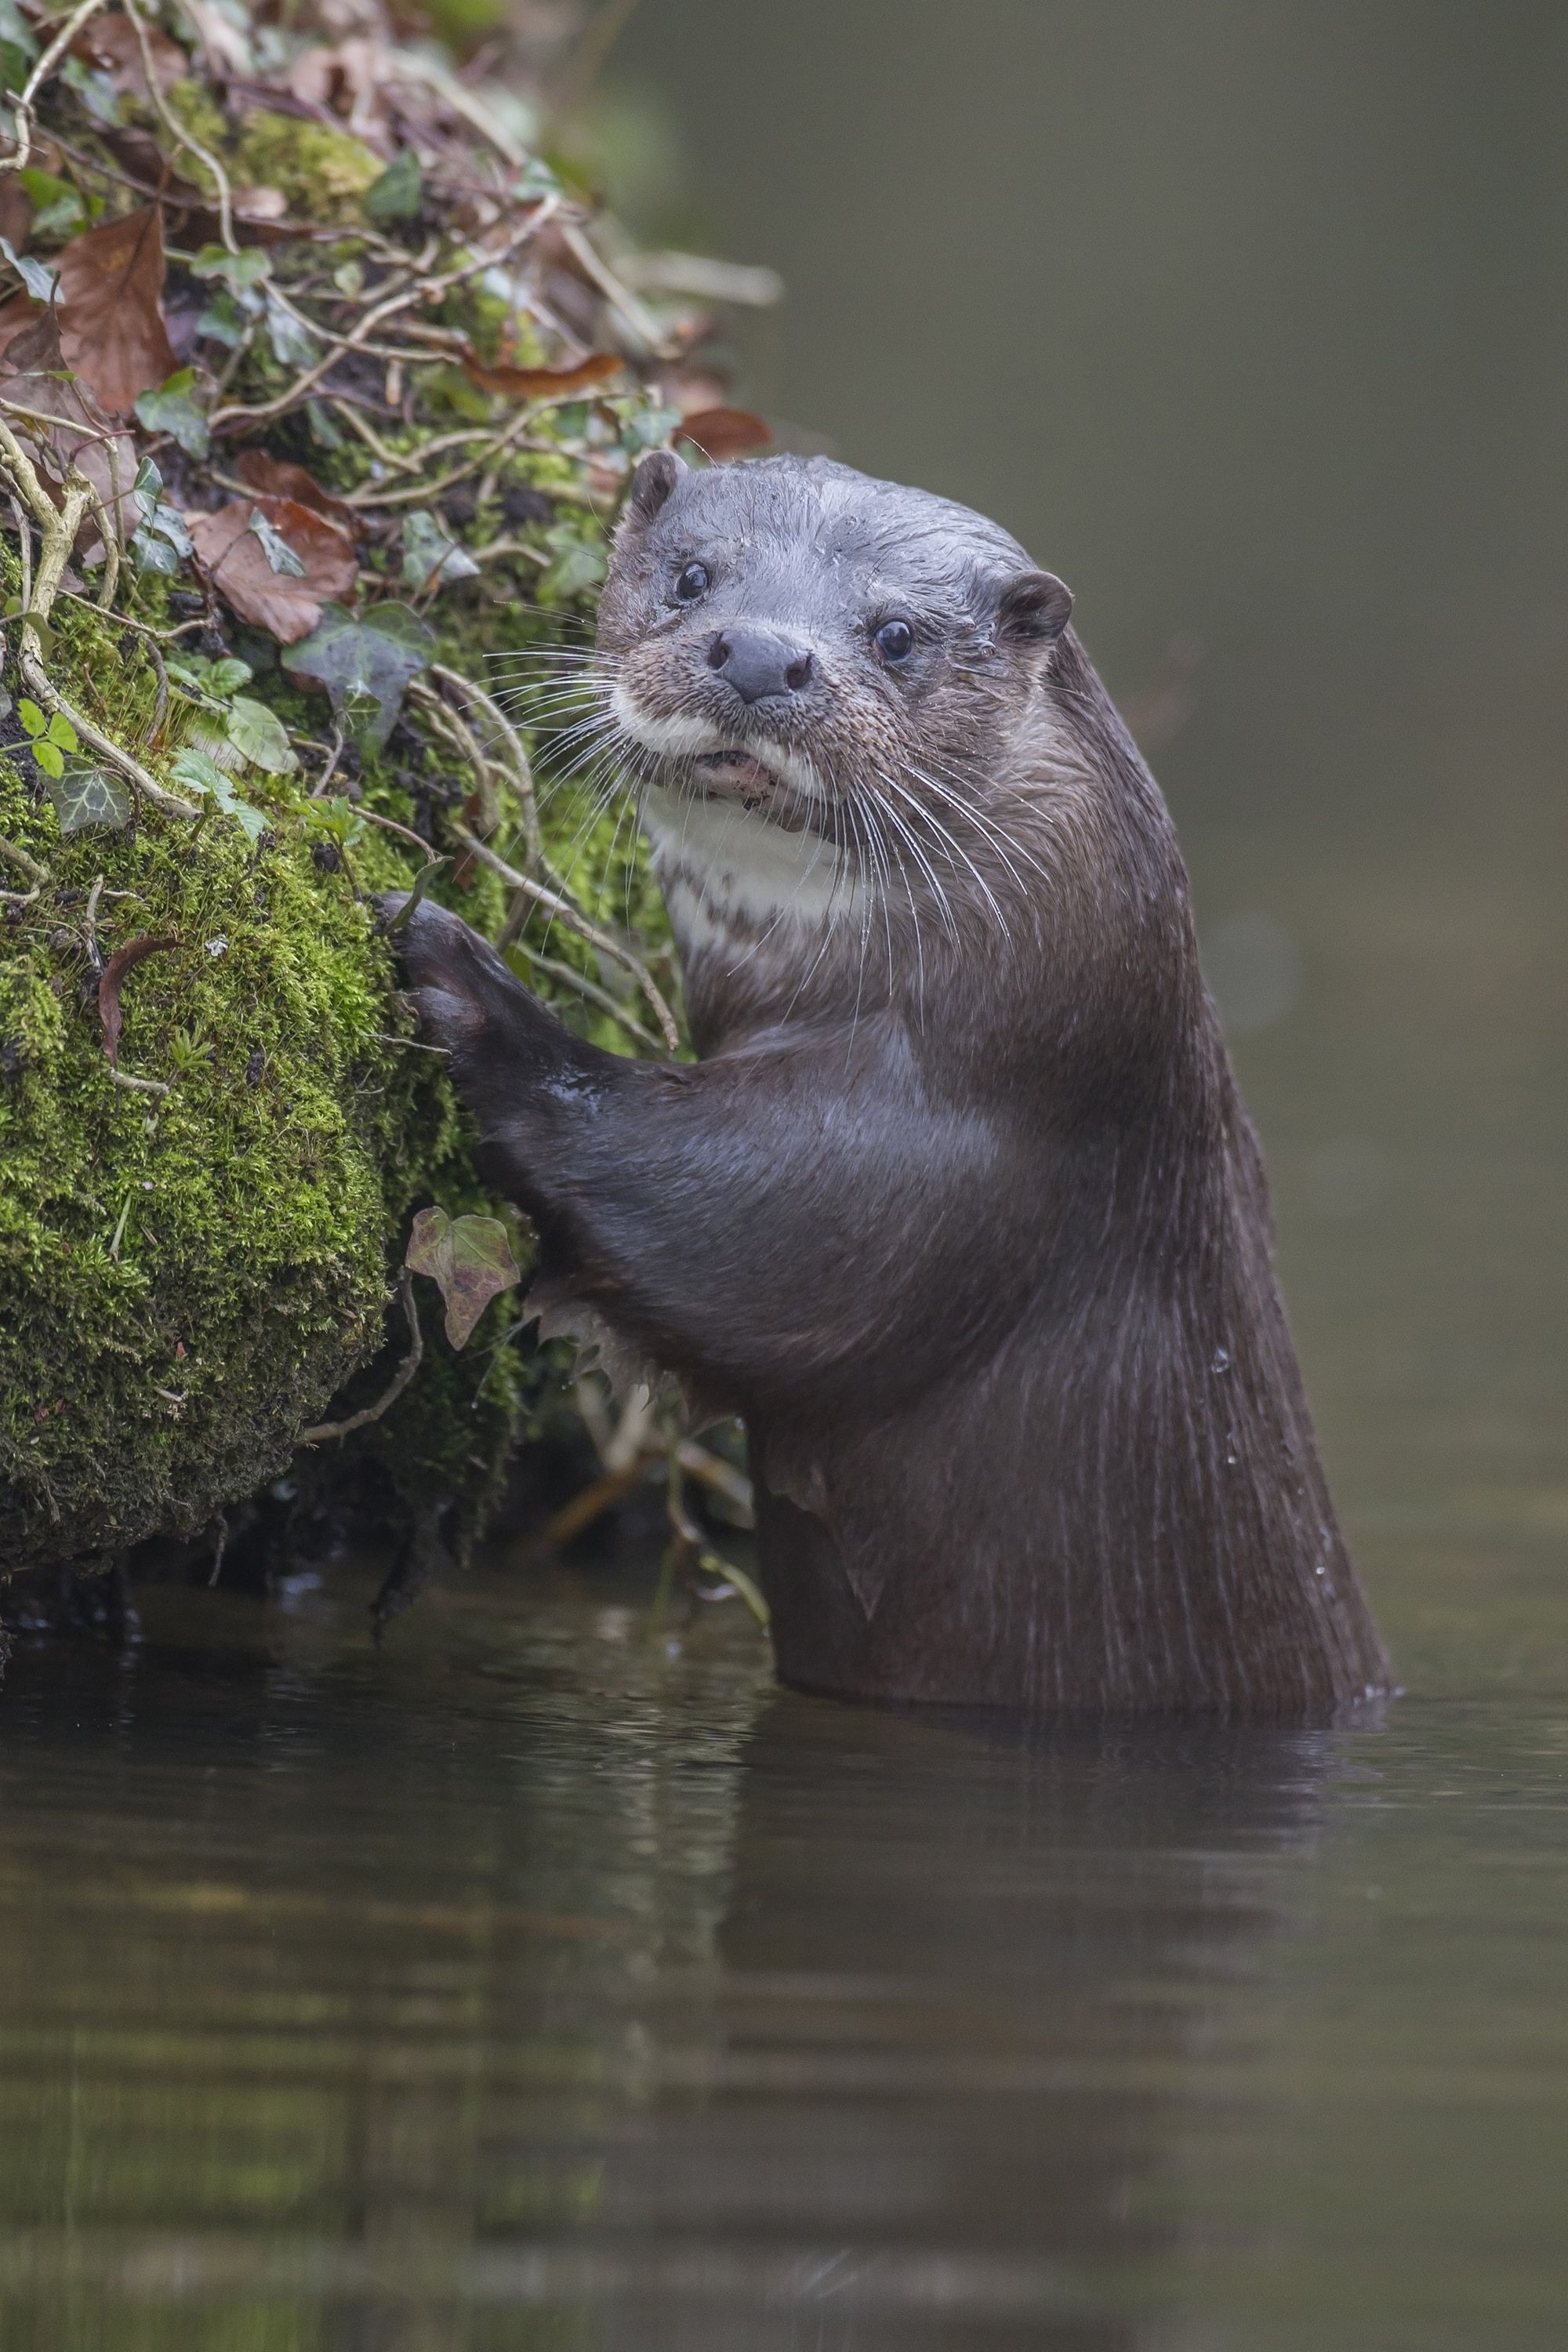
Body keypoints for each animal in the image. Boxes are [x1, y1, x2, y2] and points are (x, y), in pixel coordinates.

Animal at [391, 451, 1390, 1718]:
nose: (760, 655)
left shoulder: (967, 1140)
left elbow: (734, 1239)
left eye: (897, 634)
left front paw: (469, 990)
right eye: (692, 575)